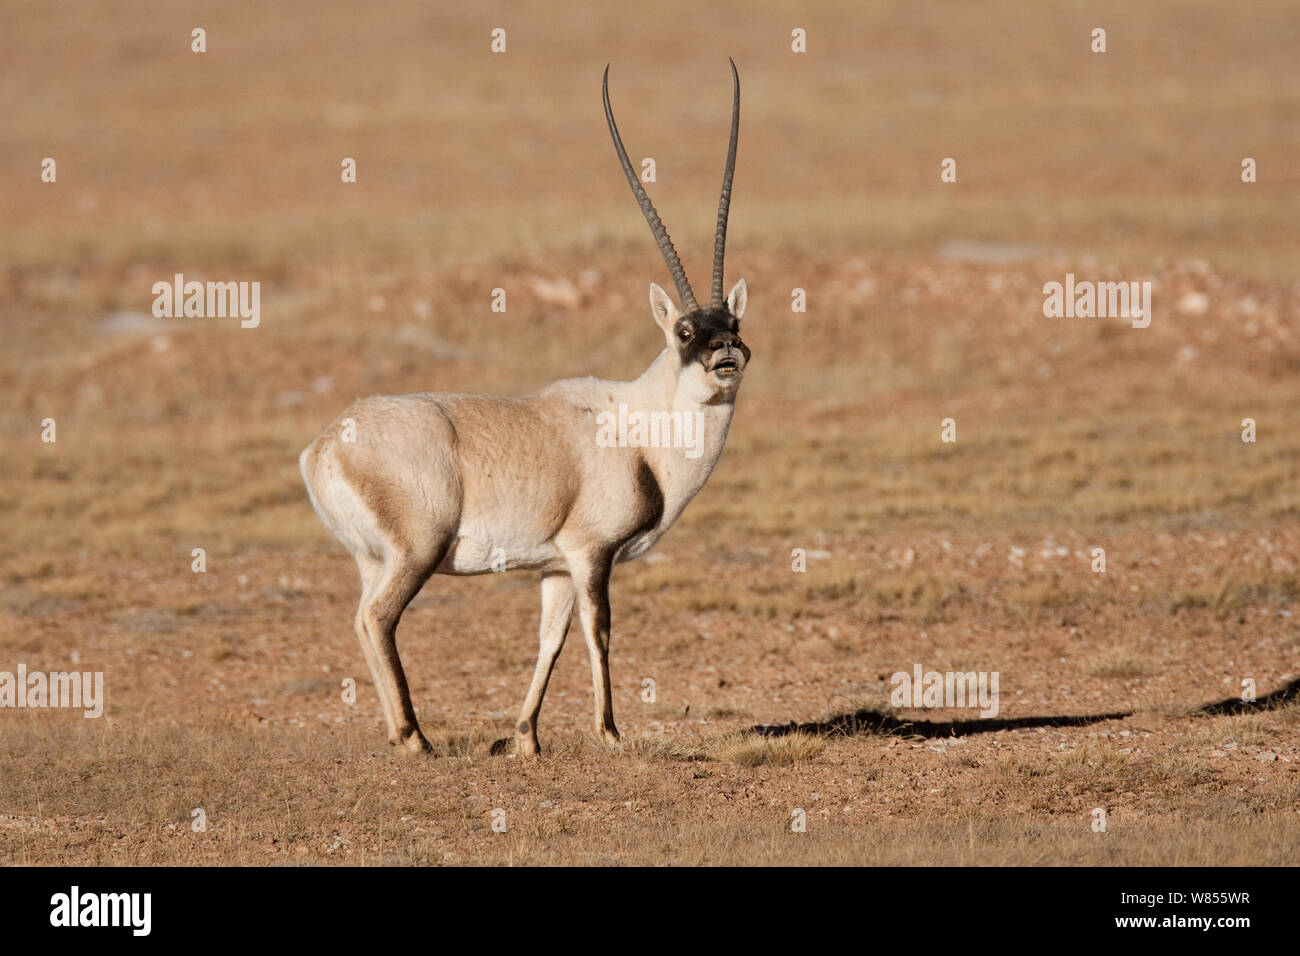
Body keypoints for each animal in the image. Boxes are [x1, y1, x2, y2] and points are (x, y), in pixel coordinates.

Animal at [299, 61, 750, 756]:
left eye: (732, 322)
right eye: (684, 332)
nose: (726, 354)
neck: (642, 426)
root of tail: (322, 448)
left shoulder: (555, 568)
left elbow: (551, 640)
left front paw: (525, 738)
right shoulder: (592, 555)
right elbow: (599, 632)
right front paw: (609, 732)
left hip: (374, 560)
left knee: (360, 621)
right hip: (415, 554)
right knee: (377, 620)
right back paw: (415, 738)